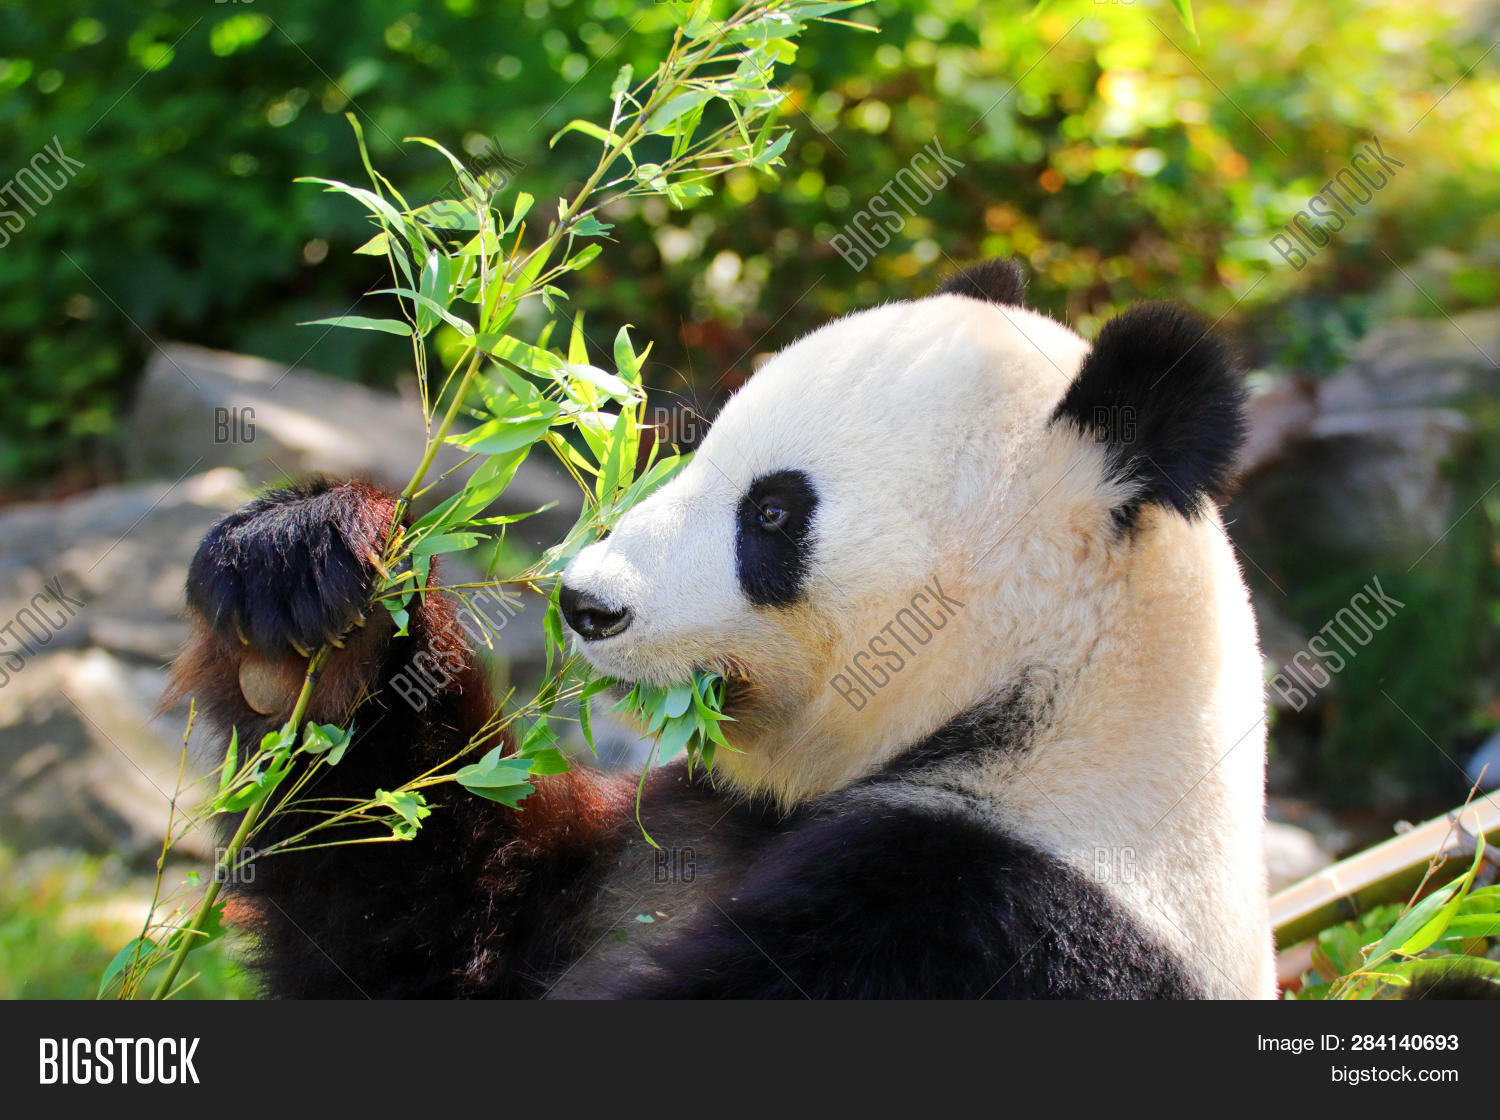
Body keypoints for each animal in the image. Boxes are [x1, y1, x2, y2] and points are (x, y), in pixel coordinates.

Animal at [173, 258, 1274, 999]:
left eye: (774, 513)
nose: (586, 602)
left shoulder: (988, 917)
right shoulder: (694, 815)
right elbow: (421, 928)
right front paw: (305, 595)